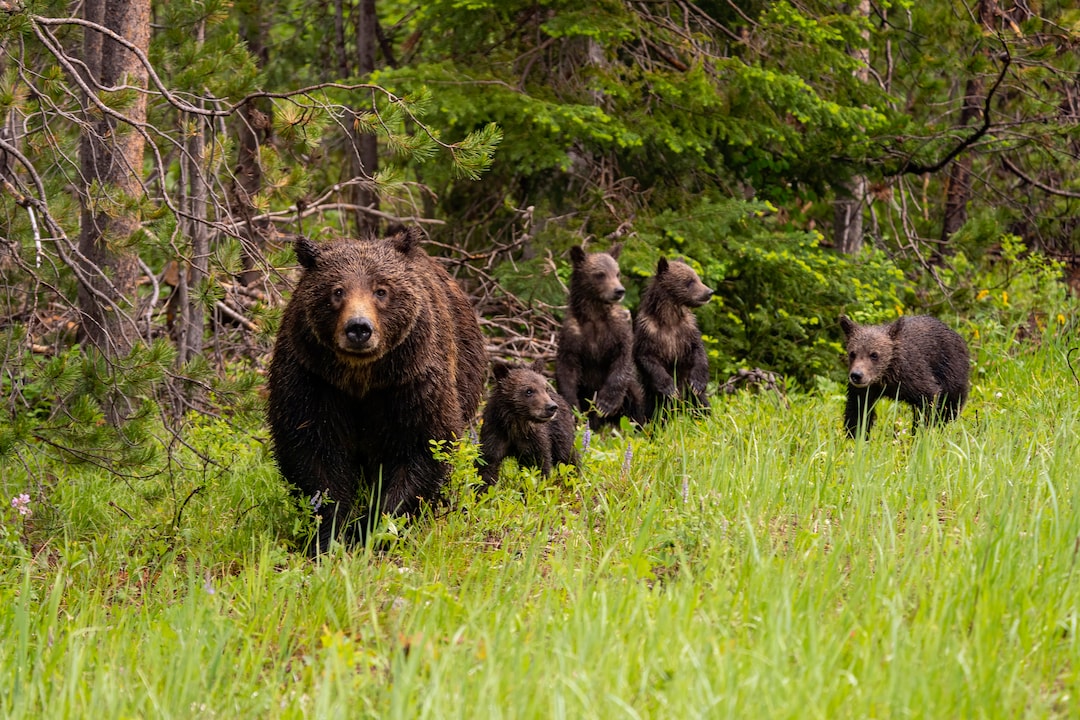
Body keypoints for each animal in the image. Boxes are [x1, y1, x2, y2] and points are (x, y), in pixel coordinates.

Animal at [266, 228, 487, 553]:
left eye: (381, 290)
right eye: (337, 291)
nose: (359, 328)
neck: (361, 377)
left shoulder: (411, 384)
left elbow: (423, 447)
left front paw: (372, 529)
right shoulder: (313, 380)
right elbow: (313, 452)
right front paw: (329, 534)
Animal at [555, 243, 645, 430]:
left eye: (617, 273)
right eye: (600, 274)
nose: (619, 291)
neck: (594, 315)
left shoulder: (618, 330)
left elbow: (623, 357)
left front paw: (606, 403)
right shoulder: (573, 335)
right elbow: (567, 370)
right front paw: (573, 409)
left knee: (636, 401)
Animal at [633, 257, 714, 419]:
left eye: (697, 277)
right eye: (690, 281)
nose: (709, 292)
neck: (669, 319)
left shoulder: (687, 330)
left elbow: (698, 352)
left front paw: (698, 383)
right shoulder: (648, 332)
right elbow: (647, 357)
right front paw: (670, 388)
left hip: (690, 396)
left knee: (701, 404)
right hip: (652, 399)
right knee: (655, 414)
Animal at [839, 314, 970, 439]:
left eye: (874, 354)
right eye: (852, 353)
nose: (857, 375)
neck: (885, 377)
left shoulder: (915, 378)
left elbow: (928, 403)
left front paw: (921, 435)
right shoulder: (864, 390)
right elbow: (857, 411)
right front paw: (855, 436)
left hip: (952, 373)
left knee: (951, 406)